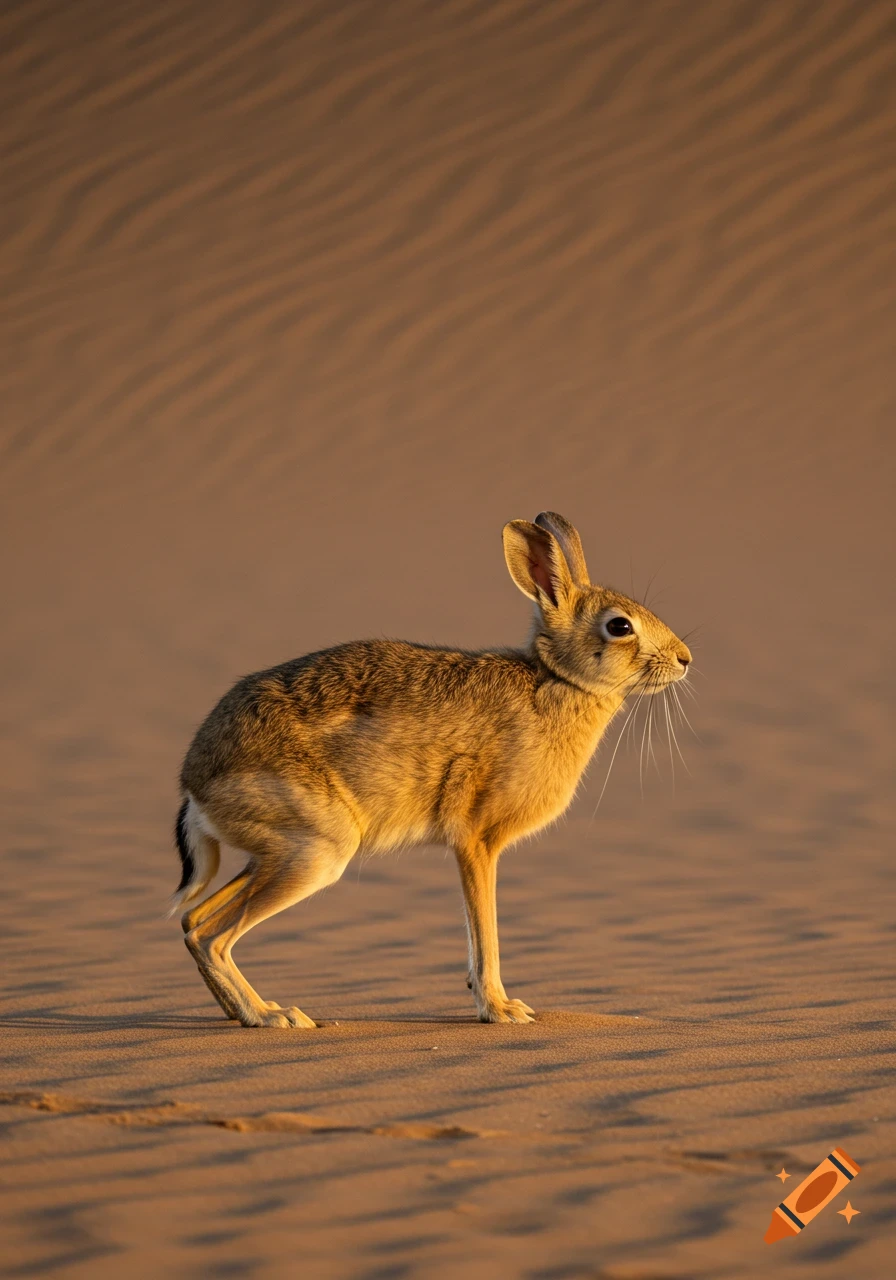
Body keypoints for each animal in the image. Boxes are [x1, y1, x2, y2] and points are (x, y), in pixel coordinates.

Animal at [173, 512, 691, 1027]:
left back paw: (245, 1011)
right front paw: (501, 1010)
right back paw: (272, 1016)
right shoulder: (476, 840)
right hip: (315, 849)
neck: (558, 681)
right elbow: (484, 929)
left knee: (192, 921)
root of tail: (195, 786)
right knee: (211, 935)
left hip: (278, 852)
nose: (685, 659)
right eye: (619, 626)